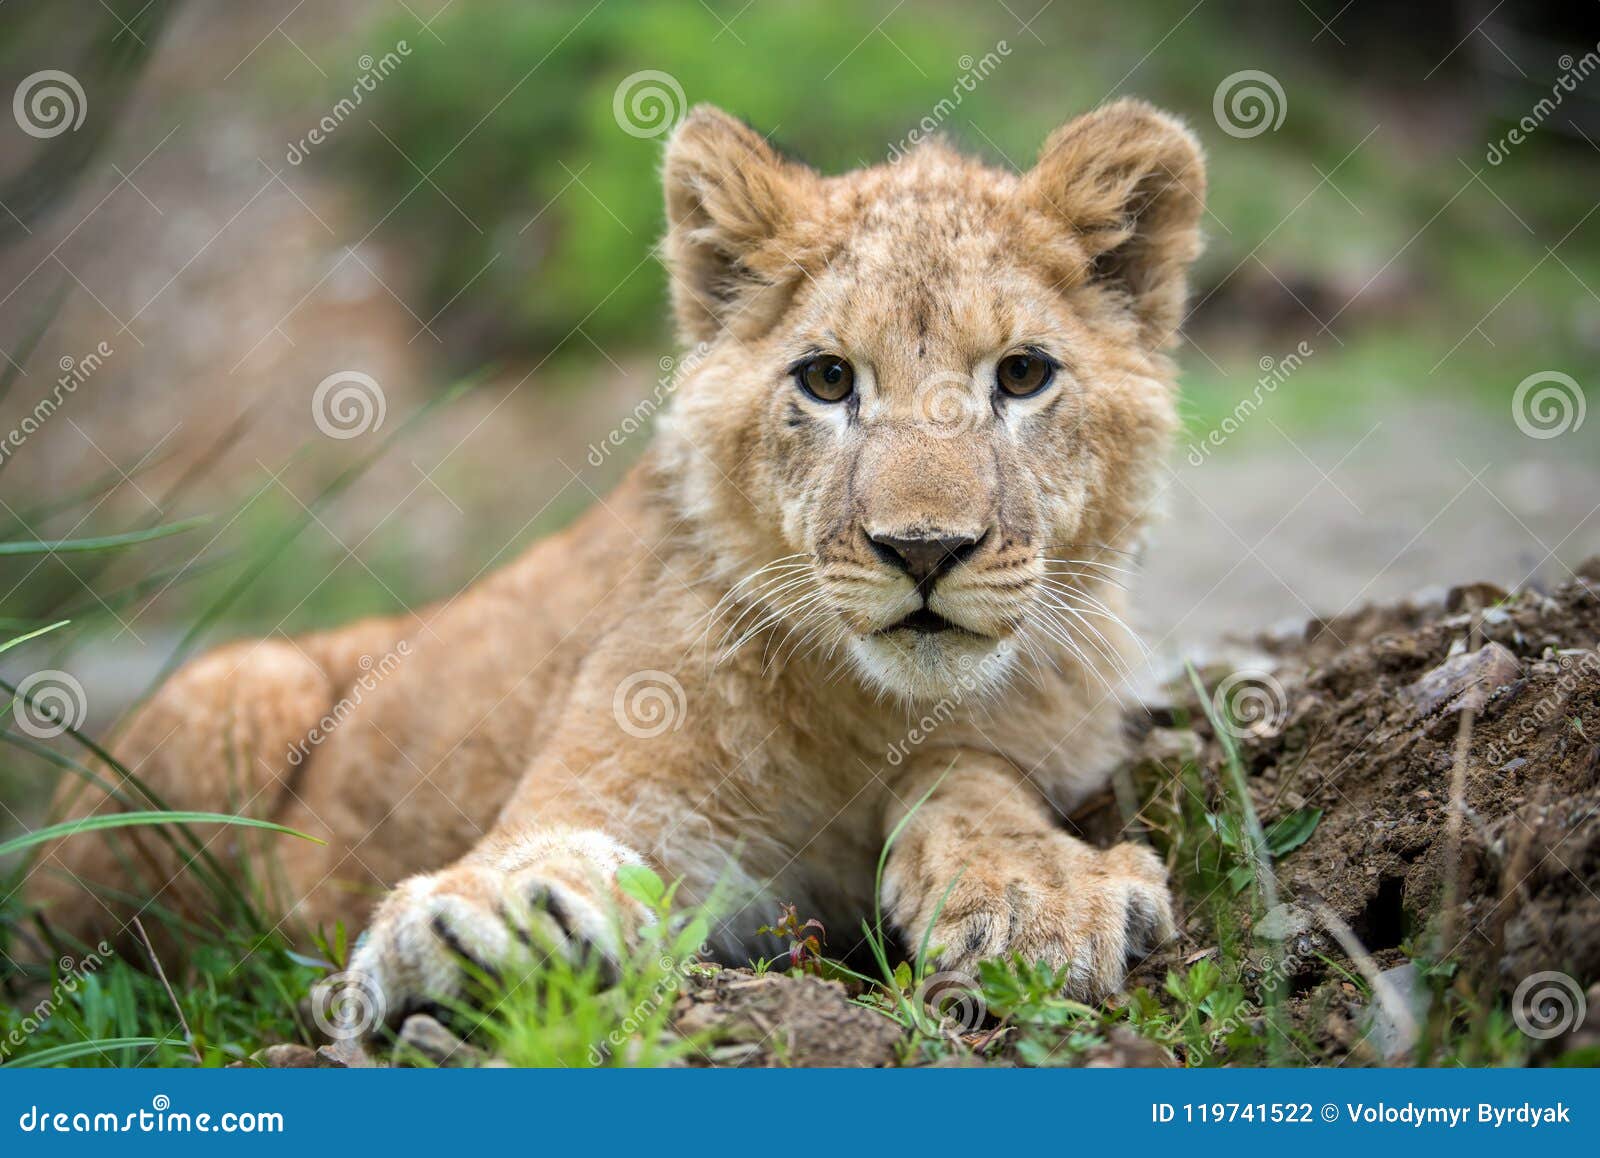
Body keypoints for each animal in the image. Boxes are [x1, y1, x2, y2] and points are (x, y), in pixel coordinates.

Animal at [29, 98, 1206, 1030]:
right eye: (828, 379)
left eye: (1023, 375)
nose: (923, 550)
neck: (868, 714)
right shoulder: (635, 790)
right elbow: (558, 842)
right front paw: (490, 929)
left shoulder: (1061, 745)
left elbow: (970, 770)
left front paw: (1032, 894)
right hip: (243, 684)